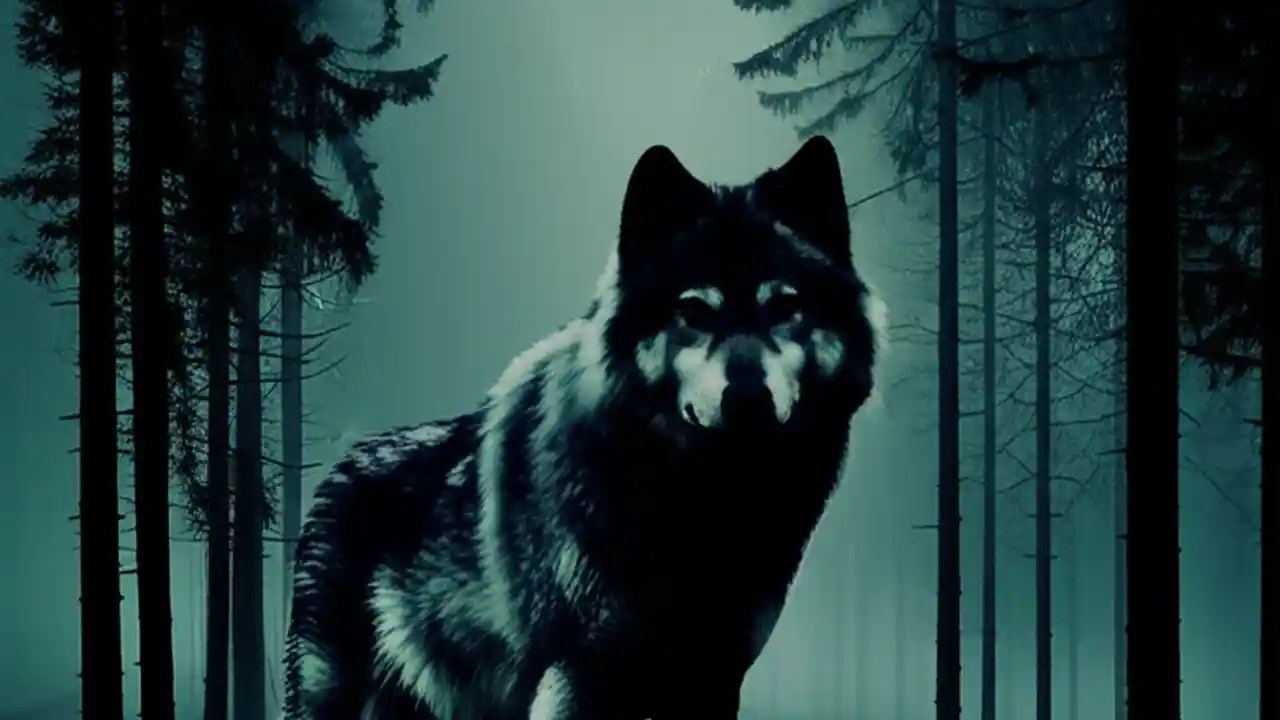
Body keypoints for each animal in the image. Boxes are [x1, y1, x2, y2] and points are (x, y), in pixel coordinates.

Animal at [282, 135, 884, 719]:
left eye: (785, 307)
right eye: (694, 312)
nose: (748, 399)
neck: (691, 512)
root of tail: (339, 466)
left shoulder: (713, 678)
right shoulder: (581, 673)